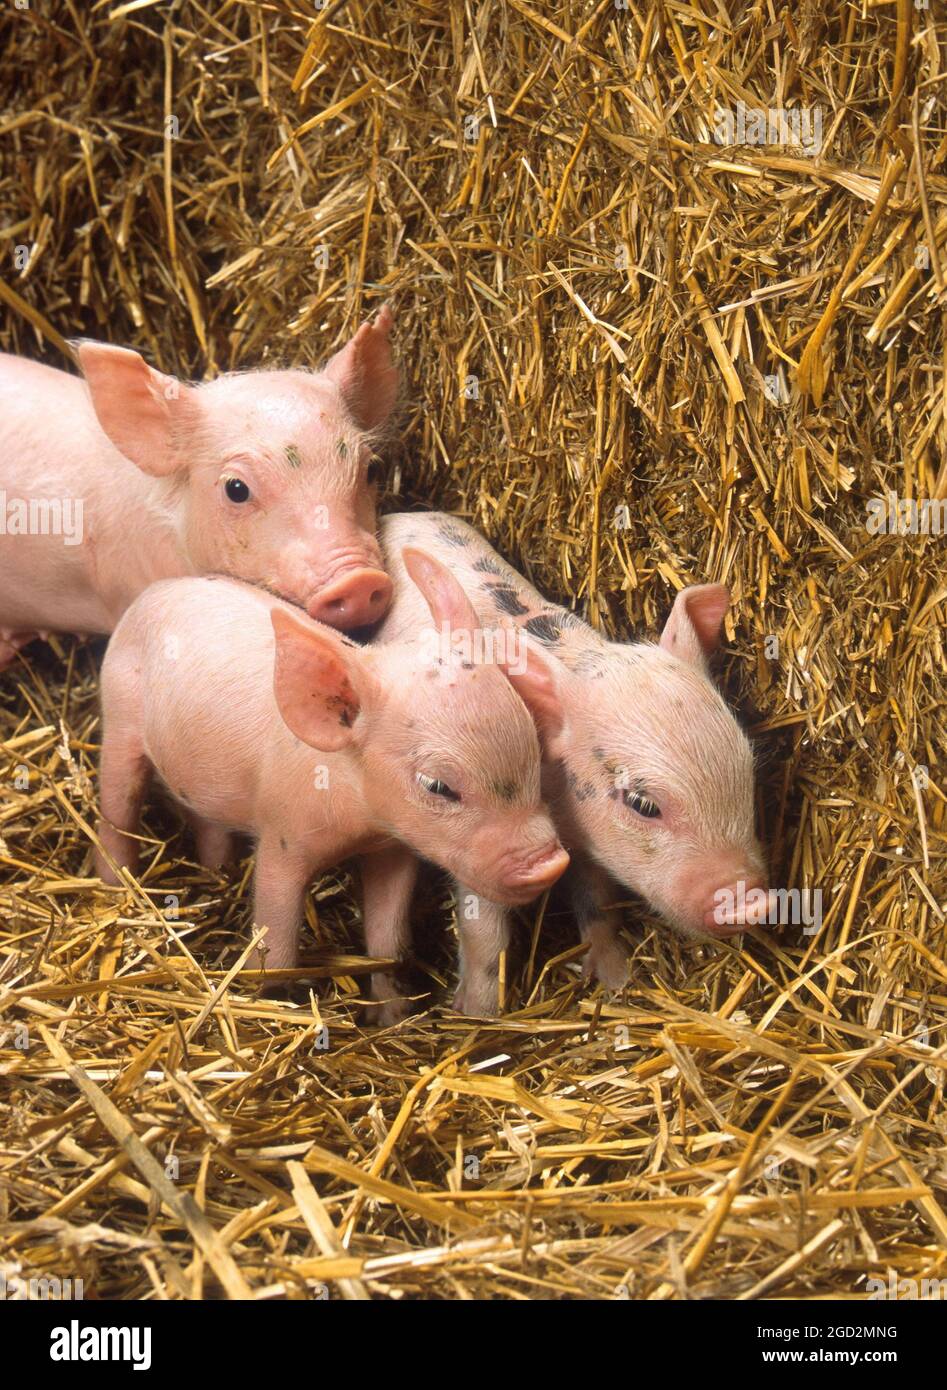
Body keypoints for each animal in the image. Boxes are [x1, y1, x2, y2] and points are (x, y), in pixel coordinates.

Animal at [95, 550, 569, 1024]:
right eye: (437, 785)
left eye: (531, 745)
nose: (550, 863)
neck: (358, 822)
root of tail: (156, 591)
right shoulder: (282, 835)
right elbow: (277, 934)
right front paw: (275, 1000)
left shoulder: (392, 848)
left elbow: (387, 937)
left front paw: (392, 1017)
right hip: (119, 717)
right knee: (116, 810)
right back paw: (116, 885)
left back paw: (217, 870)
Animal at [372, 512, 775, 1015]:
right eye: (643, 804)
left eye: (748, 771)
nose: (753, 901)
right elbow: (485, 926)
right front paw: (476, 1013)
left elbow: (596, 901)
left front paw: (616, 981)